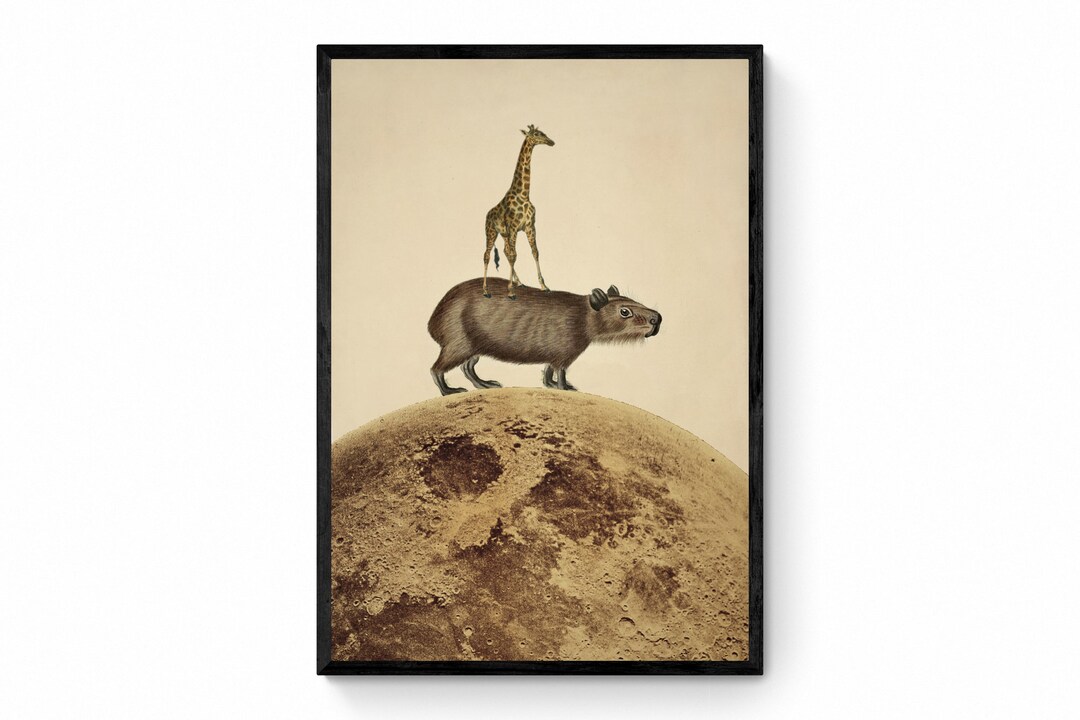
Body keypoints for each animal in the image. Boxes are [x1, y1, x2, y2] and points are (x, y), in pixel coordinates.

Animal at [482, 124, 554, 299]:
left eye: (543, 133)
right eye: (537, 134)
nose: (551, 142)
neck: (524, 193)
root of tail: (487, 214)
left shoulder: (530, 226)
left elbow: (535, 252)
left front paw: (544, 285)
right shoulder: (514, 227)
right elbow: (515, 255)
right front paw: (510, 291)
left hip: (504, 234)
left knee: (505, 251)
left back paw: (519, 282)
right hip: (491, 232)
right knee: (487, 255)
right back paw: (486, 290)